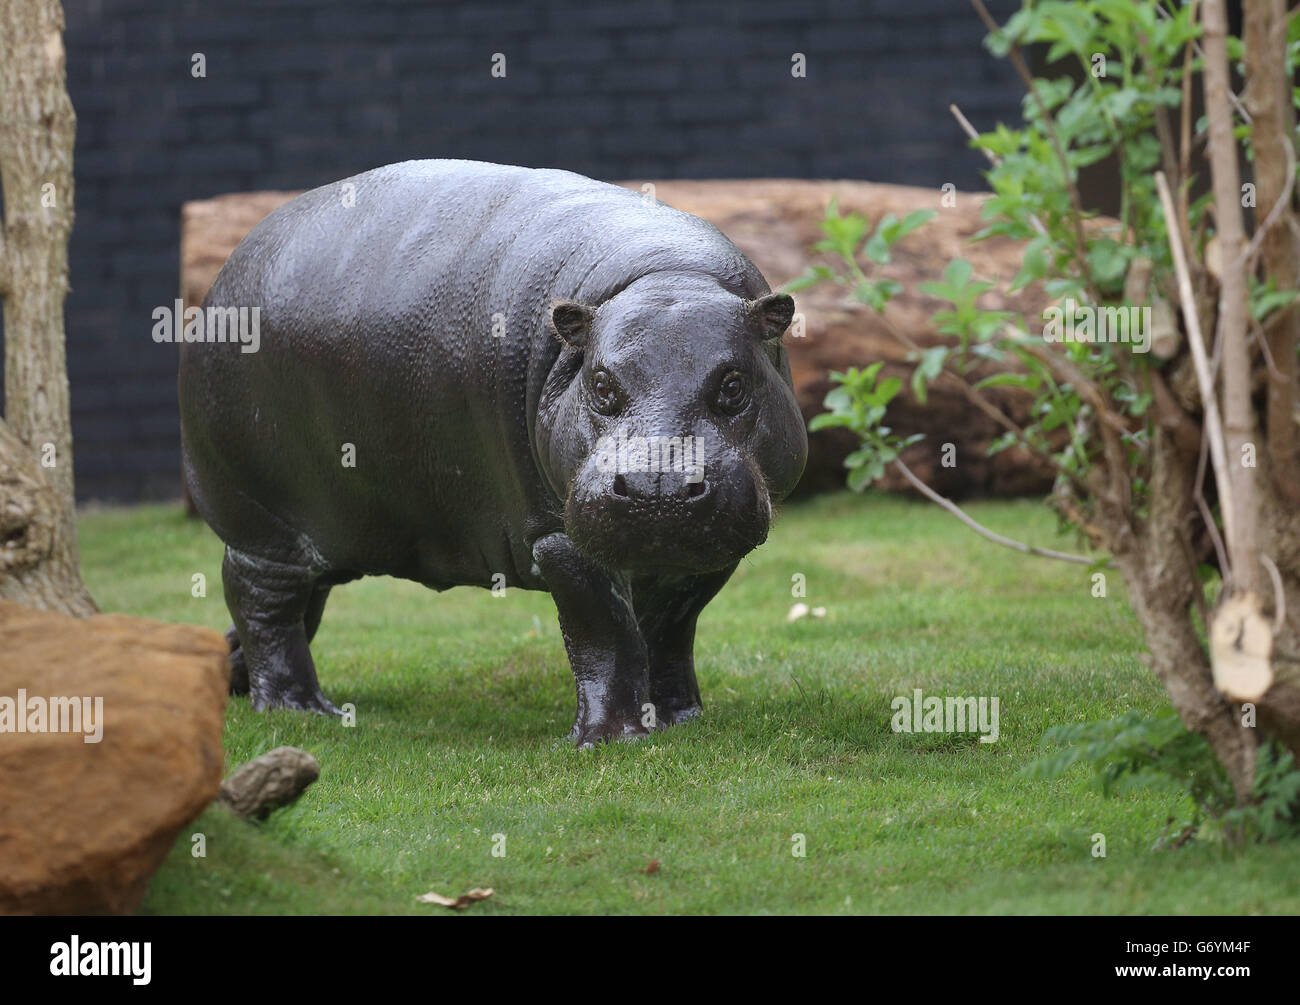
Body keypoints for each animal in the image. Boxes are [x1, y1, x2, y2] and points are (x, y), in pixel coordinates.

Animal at [179, 160, 807, 746]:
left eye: (734, 384)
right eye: (601, 383)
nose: (661, 485)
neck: (666, 276)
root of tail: (227, 272)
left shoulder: (707, 554)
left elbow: (668, 631)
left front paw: (681, 720)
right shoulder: (558, 539)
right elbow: (608, 634)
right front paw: (613, 739)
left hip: (331, 527)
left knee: (295, 605)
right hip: (261, 524)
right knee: (262, 604)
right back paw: (301, 709)